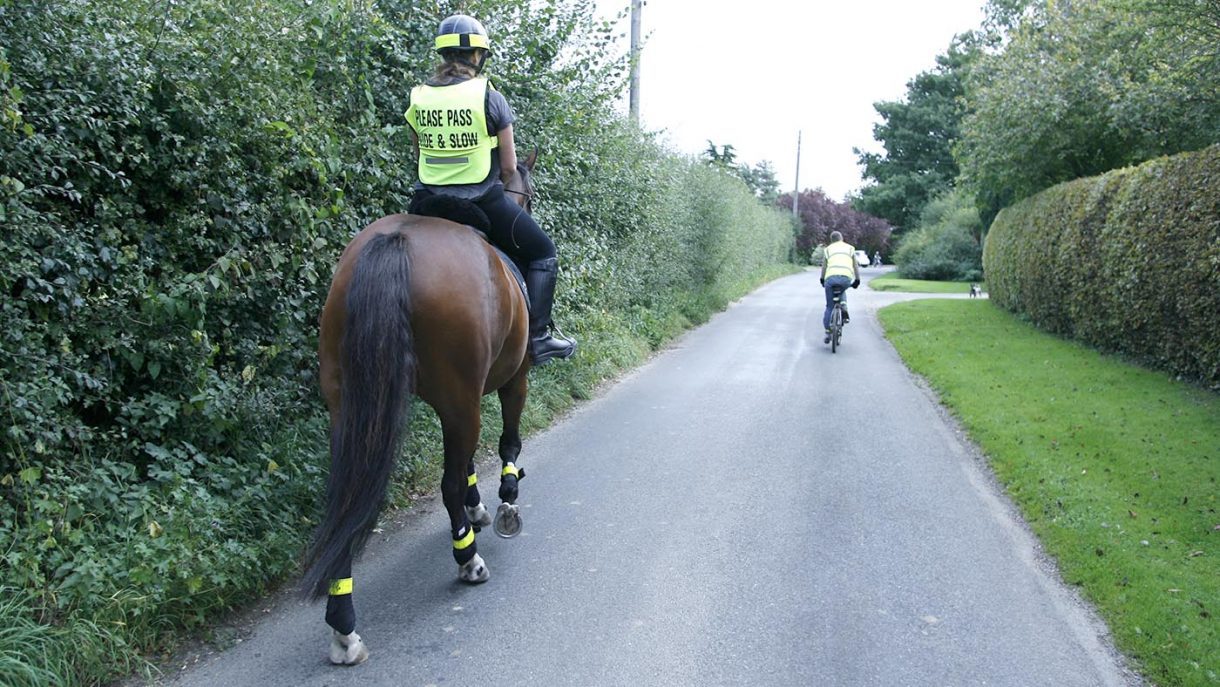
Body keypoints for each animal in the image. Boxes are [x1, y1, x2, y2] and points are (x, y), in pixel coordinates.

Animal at [300, 153, 540, 666]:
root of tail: (396, 242)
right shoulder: (512, 378)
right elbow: (506, 442)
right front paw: (505, 498)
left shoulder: (458, 400)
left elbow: (466, 463)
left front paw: (477, 508)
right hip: (461, 396)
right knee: (447, 484)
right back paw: (468, 560)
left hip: (351, 407)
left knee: (345, 495)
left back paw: (343, 625)